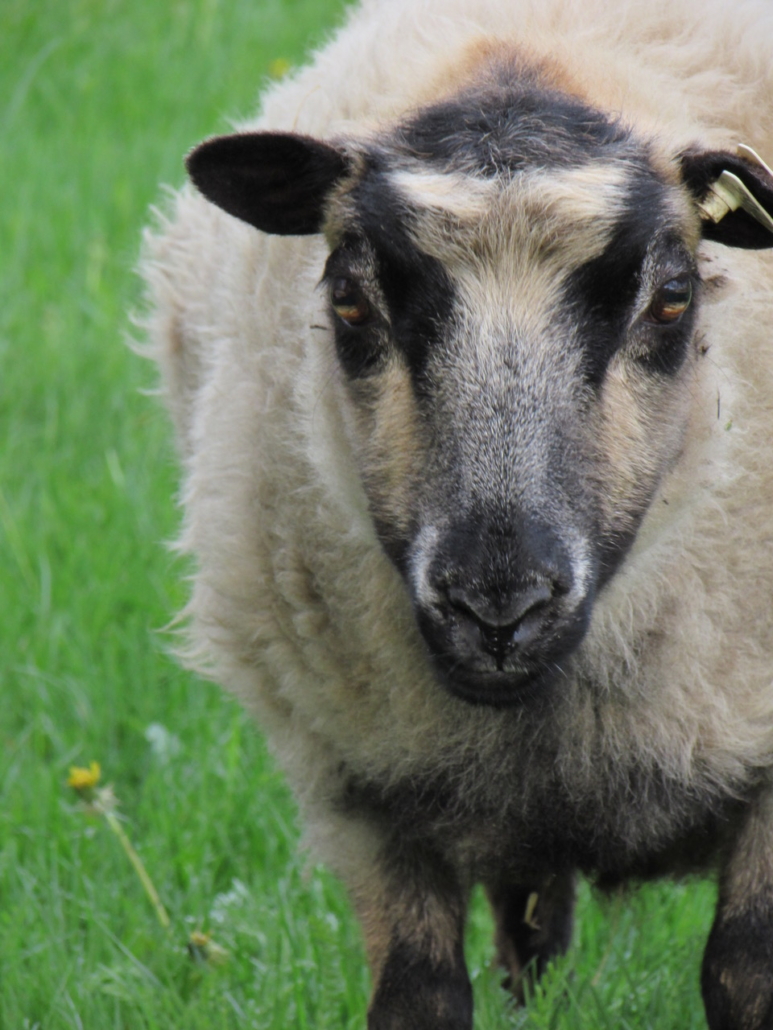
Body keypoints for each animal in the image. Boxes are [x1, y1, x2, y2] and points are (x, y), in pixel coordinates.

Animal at [141, 0, 773, 1026]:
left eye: (674, 297)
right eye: (348, 300)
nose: (497, 608)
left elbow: (743, 971)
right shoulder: (365, 787)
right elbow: (418, 996)